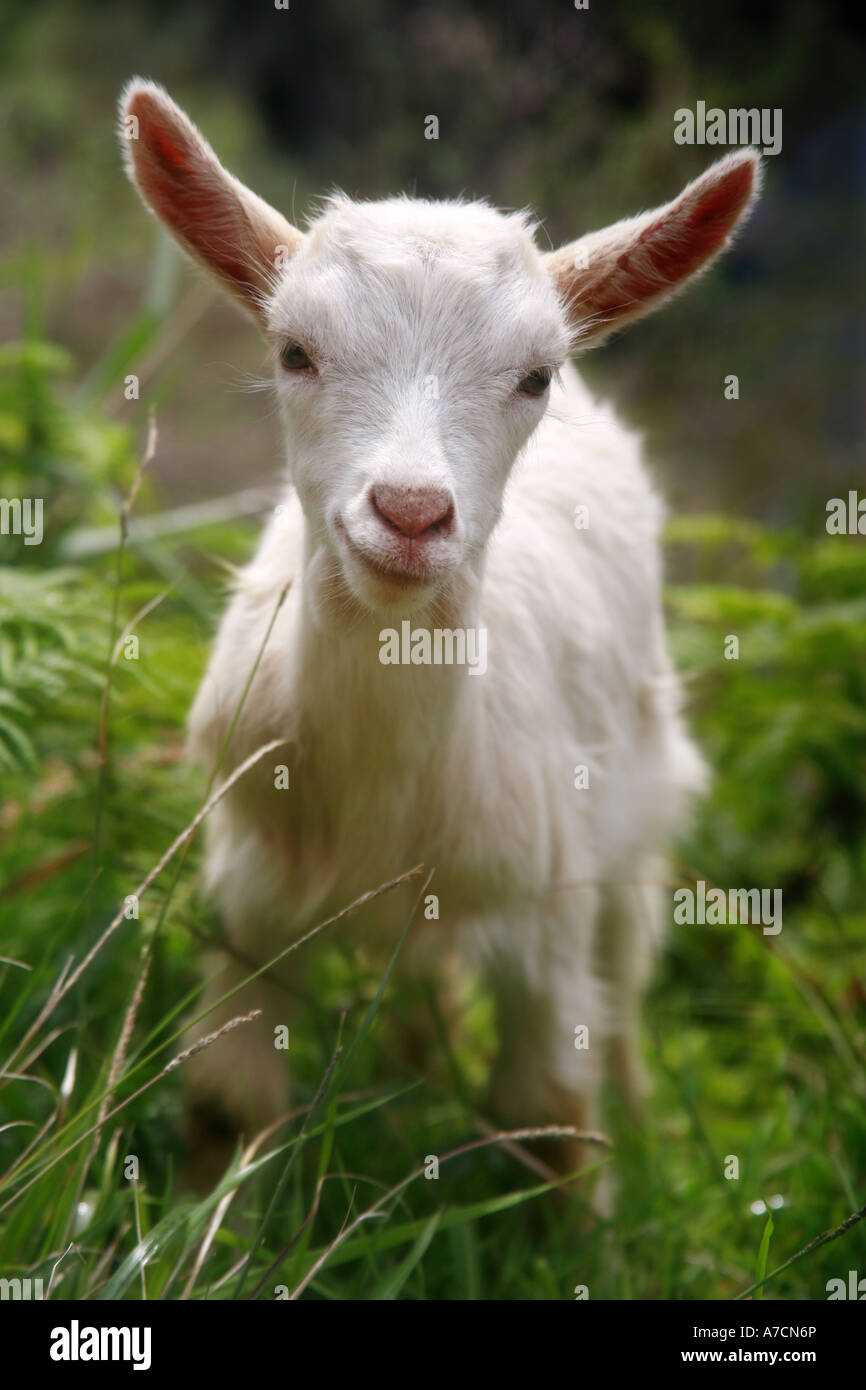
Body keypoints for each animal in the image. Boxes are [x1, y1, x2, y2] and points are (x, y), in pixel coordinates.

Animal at [119, 79, 760, 1186]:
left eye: (535, 376)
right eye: (293, 351)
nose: (411, 512)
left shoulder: (549, 906)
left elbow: (550, 1114)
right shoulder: (249, 891)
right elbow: (226, 1097)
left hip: (640, 800)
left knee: (627, 972)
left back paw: (645, 1124)